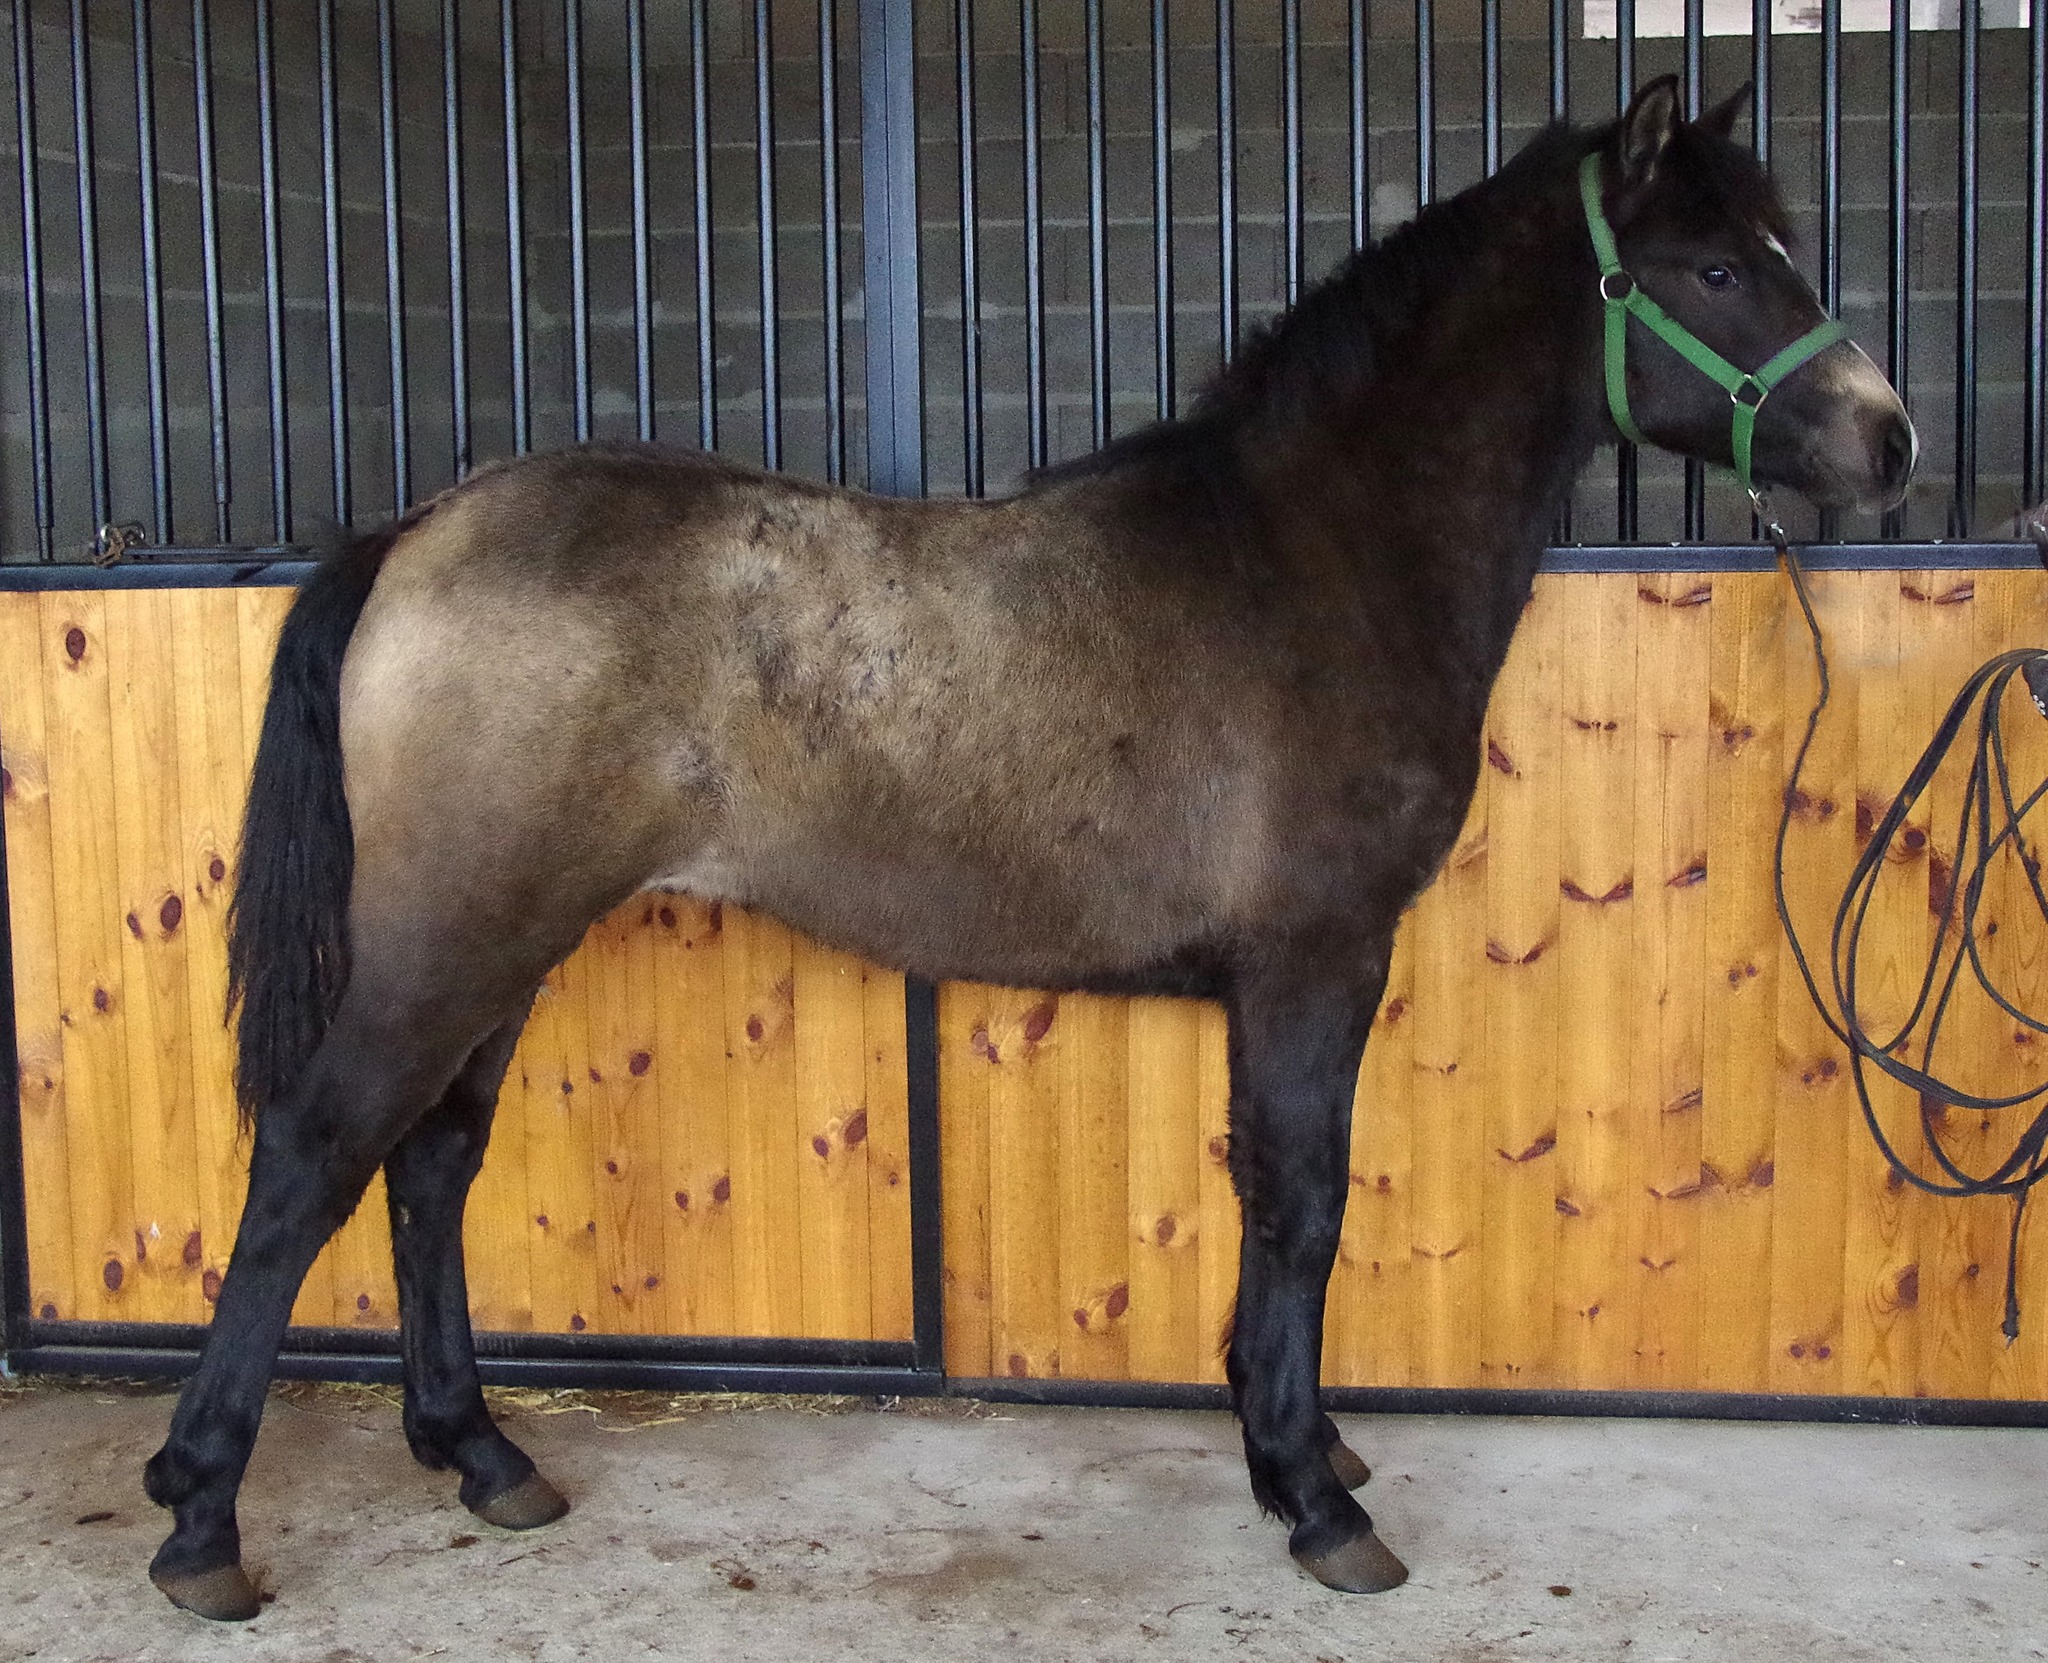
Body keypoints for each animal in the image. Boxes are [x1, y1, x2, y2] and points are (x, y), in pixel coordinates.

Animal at [140, 76, 1914, 1619]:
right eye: (1713, 266)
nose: (1889, 443)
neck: (1309, 559)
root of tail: (419, 527)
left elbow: (1280, 1197)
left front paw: (1301, 1436)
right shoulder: (1313, 961)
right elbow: (1302, 1196)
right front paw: (1310, 1492)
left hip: (509, 938)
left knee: (431, 1159)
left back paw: (482, 1453)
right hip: (455, 934)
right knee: (313, 1157)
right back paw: (203, 1515)